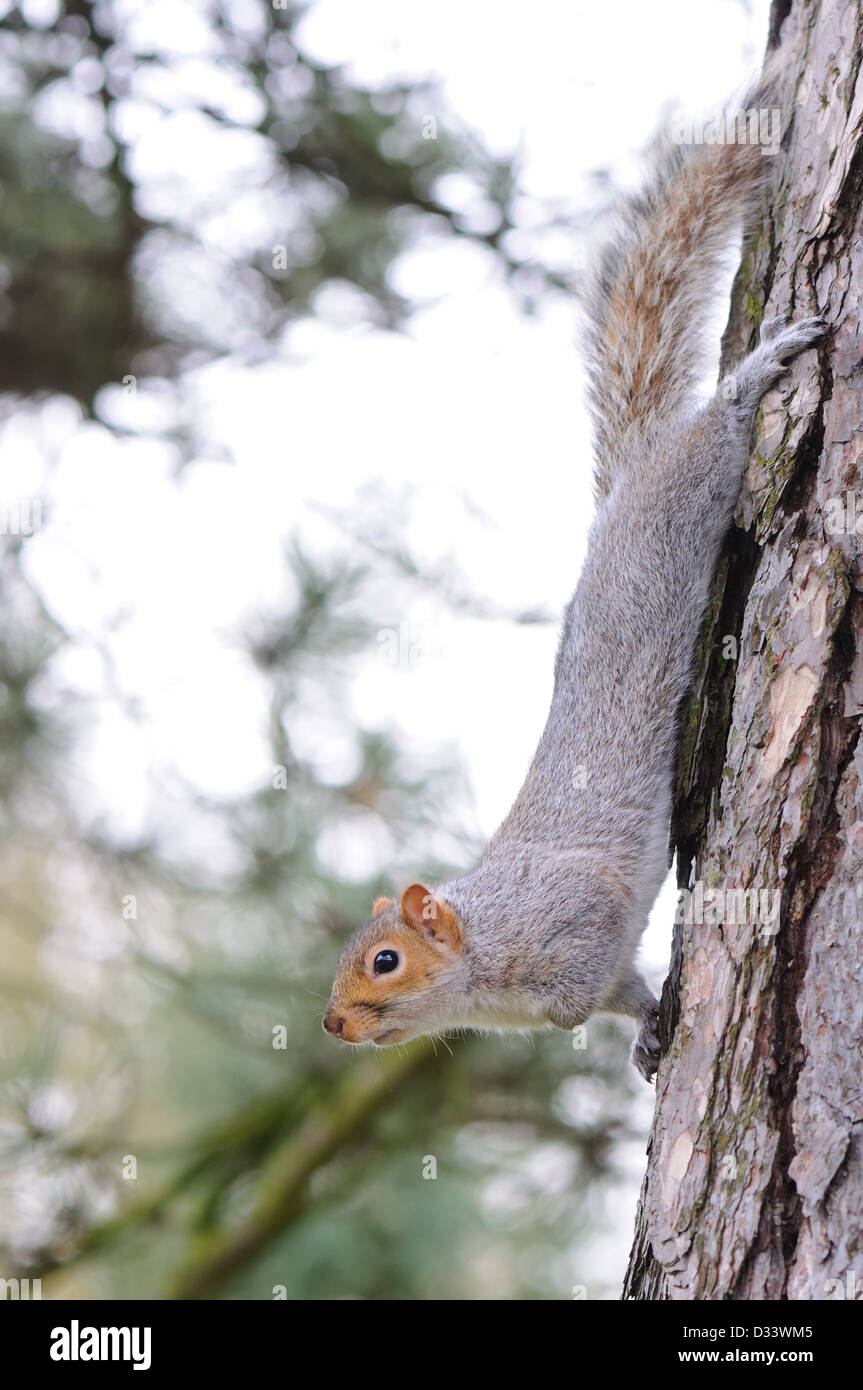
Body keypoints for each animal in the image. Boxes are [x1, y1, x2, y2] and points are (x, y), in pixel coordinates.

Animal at [323, 67, 826, 1080]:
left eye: (384, 961)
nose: (330, 1025)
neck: (483, 960)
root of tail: (624, 490)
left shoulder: (574, 921)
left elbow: (587, 983)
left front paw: (614, 1016)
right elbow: (614, 998)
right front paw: (643, 1035)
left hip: (682, 500)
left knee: (714, 435)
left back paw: (755, 373)